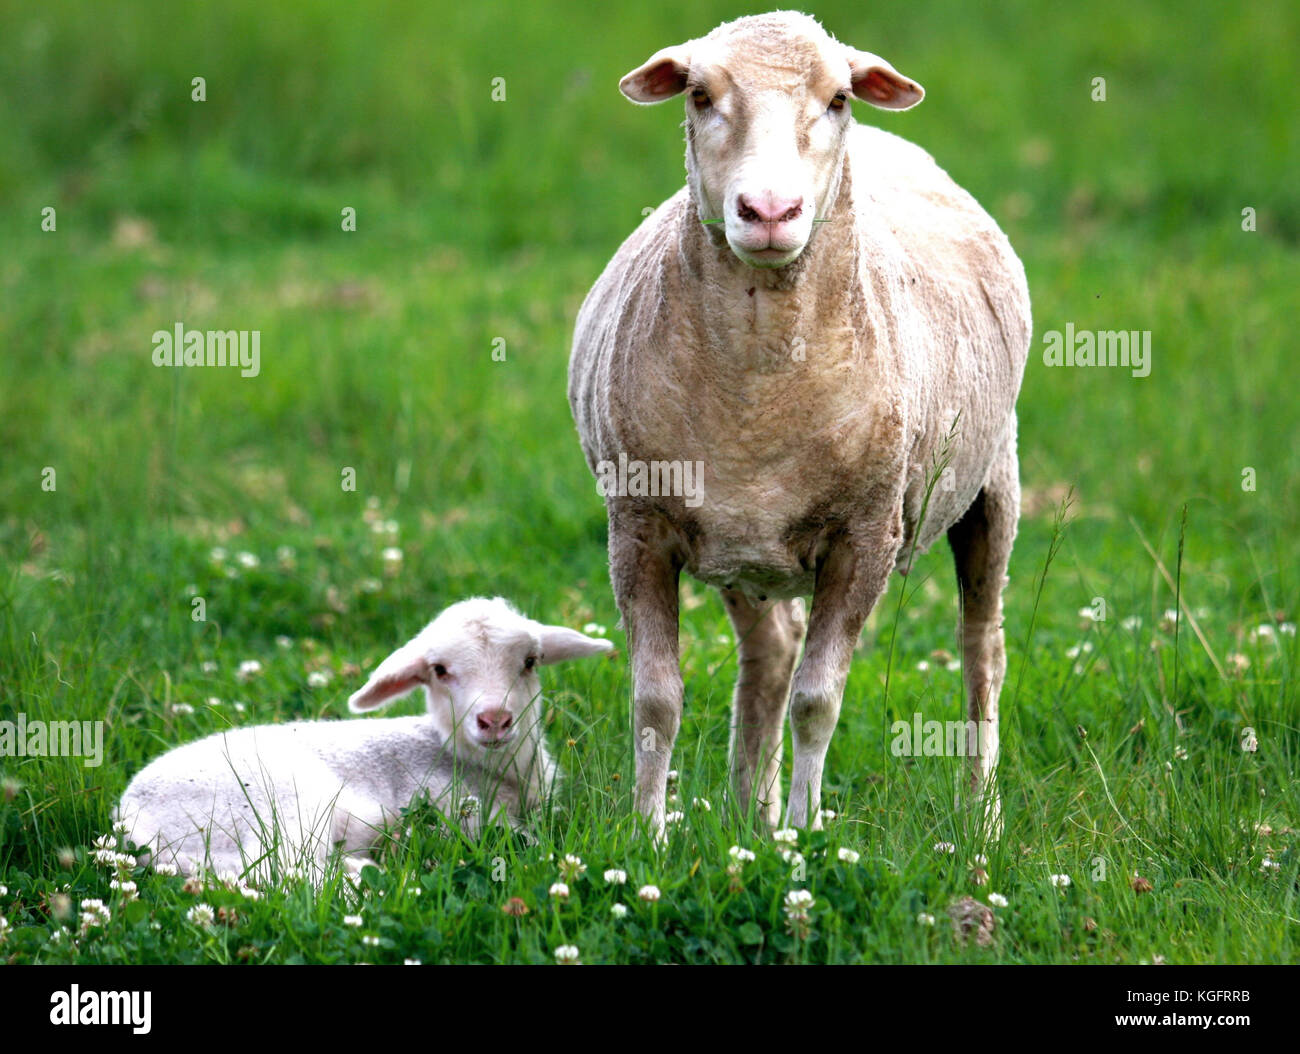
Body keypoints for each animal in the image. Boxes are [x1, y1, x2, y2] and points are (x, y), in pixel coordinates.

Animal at [116, 598, 612, 880]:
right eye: (439, 670)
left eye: (530, 661)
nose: (495, 720)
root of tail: (129, 817)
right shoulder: (457, 809)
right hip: (275, 804)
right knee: (282, 871)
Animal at [568, 11, 1031, 837]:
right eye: (699, 94)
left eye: (839, 97)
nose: (769, 213)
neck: (757, 402)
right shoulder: (640, 527)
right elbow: (656, 701)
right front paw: (648, 837)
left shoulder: (866, 535)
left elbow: (818, 701)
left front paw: (805, 831)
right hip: (744, 548)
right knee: (770, 657)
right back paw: (747, 814)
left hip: (992, 482)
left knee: (983, 651)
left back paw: (980, 816)